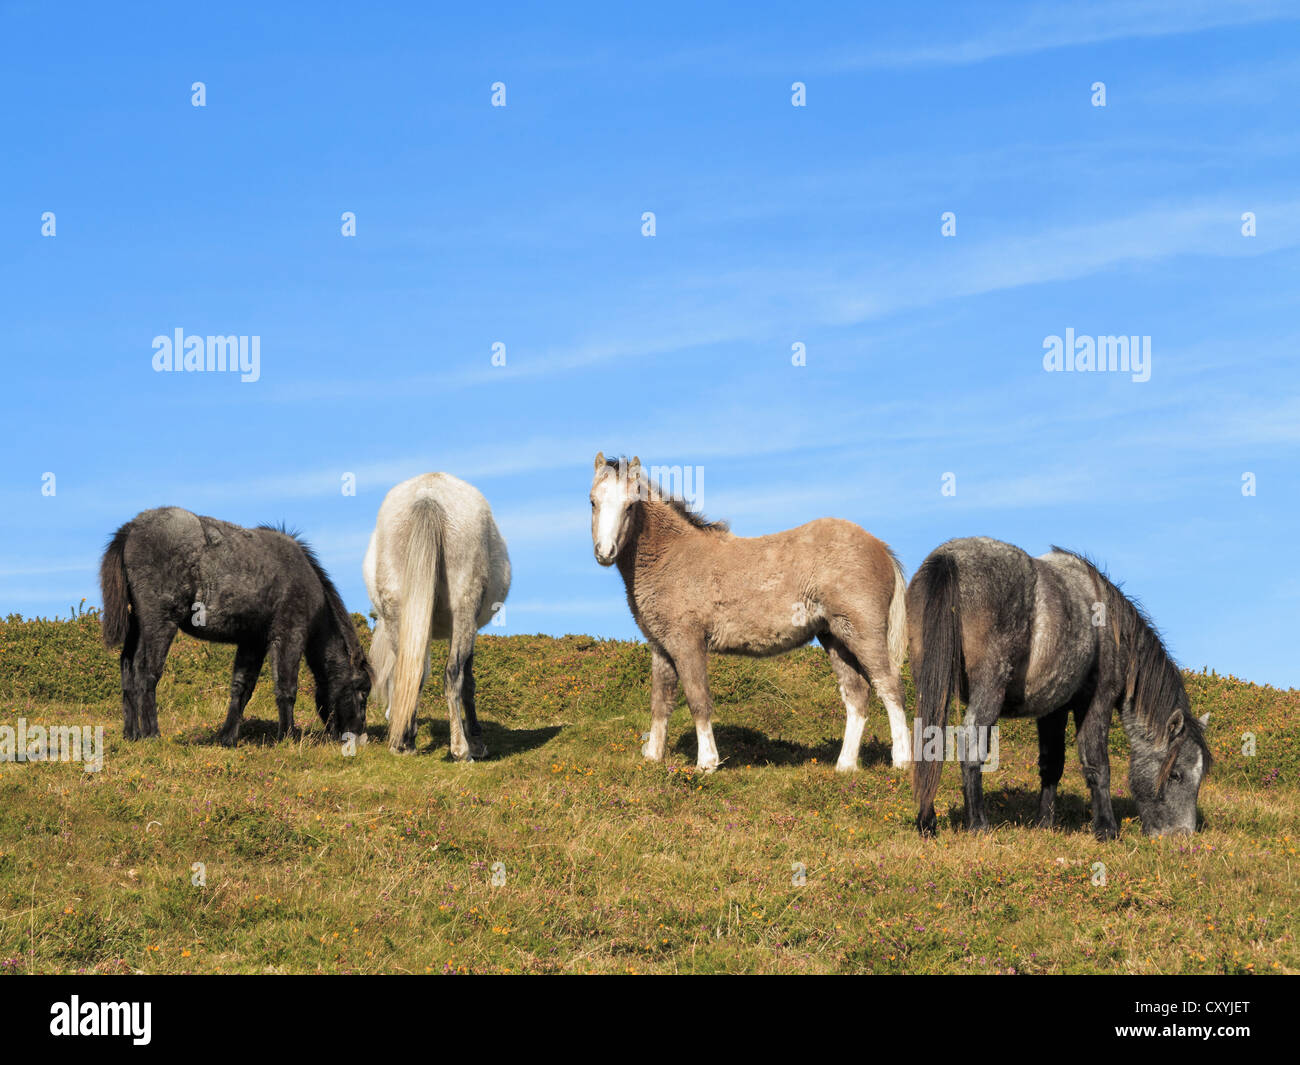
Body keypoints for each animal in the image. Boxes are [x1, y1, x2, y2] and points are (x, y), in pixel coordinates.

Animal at [99, 507, 372, 746]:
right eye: (363, 692)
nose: (358, 736)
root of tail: (131, 528)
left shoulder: (253, 641)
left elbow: (242, 688)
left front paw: (227, 738)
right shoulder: (289, 636)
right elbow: (286, 688)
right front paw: (288, 737)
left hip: (137, 624)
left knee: (128, 667)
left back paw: (132, 734)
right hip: (160, 621)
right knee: (147, 670)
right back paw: (152, 734)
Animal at [364, 473, 511, 758]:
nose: (388, 715)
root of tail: (428, 496)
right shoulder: (469, 627)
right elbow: (468, 681)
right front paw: (477, 741)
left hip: (400, 615)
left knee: (412, 673)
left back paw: (404, 744)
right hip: (464, 614)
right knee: (453, 674)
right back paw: (461, 748)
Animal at [590, 453, 910, 773]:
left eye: (630, 506)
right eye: (593, 501)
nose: (605, 552)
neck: (671, 556)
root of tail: (880, 547)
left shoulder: (688, 642)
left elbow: (698, 699)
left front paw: (707, 763)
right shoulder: (661, 646)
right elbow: (660, 702)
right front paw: (653, 758)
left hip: (863, 632)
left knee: (889, 685)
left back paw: (902, 760)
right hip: (835, 637)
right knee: (857, 695)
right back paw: (845, 766)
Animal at [908, 536, 1211, 838]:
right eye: (1176, 774)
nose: (1181, 836)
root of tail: (950, 558)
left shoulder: (1053, 709)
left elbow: (1052, 764)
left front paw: (1044, 823)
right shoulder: (1097, 701)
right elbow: (1097, 763)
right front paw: (1106, 829)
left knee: (929, 740)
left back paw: (927, 822)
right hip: (989, 688)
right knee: (970, 742)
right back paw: (978, 824)